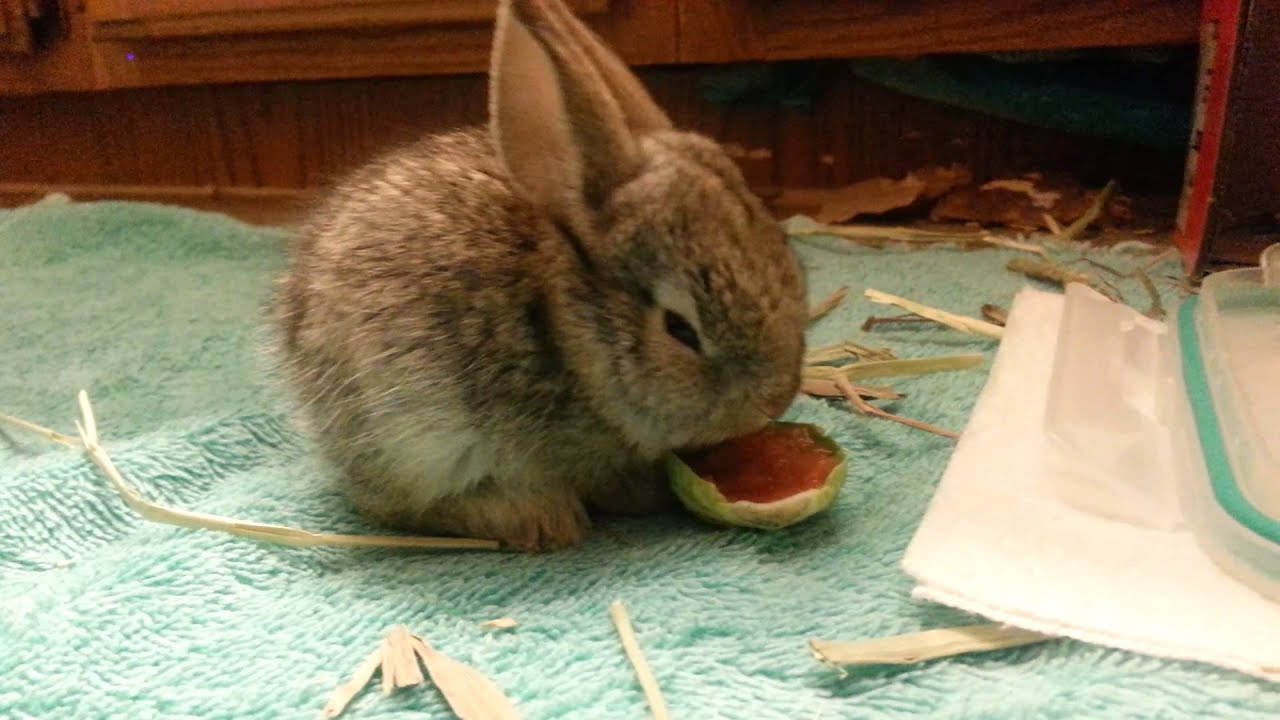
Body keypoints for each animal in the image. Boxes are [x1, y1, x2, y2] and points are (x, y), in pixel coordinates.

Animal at [272, 0, 809, 552]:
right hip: (402, 437)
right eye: (680, 329)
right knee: (398, 507)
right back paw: (536, 519)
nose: (774, 400)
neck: (569, 333)